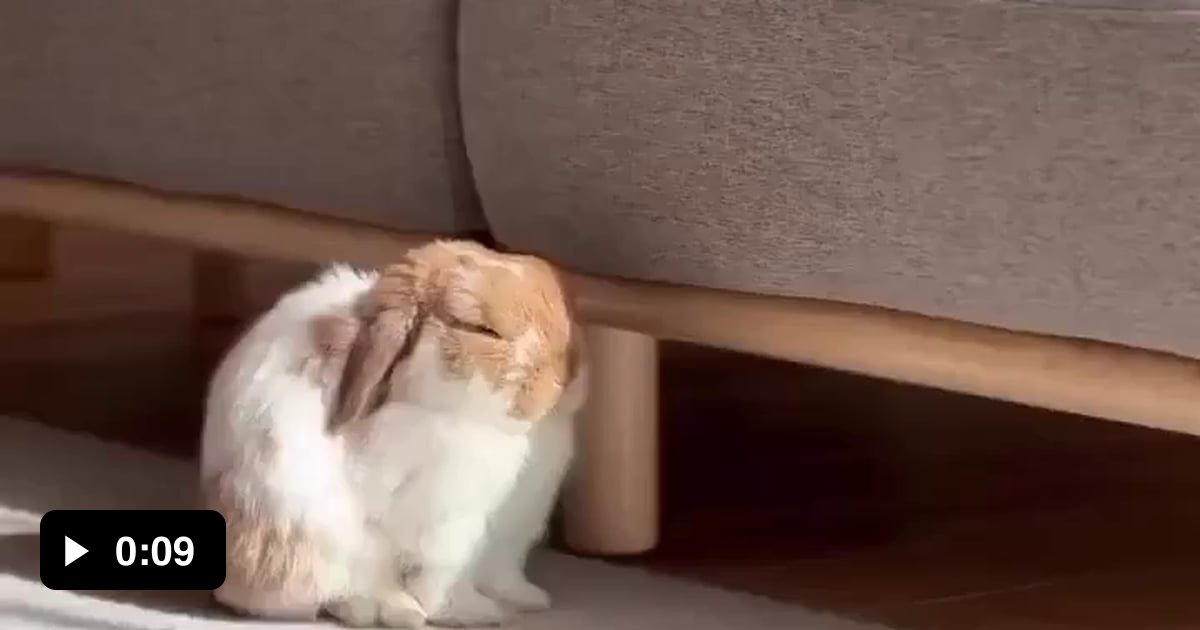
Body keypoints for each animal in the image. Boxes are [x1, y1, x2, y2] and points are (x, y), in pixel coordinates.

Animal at [200, 240, 585, 628]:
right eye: (479, 329)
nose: (563, 378)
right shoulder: (447, 529)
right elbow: (441, 580)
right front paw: (477, 613)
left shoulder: (507, 538)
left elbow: (502, 575)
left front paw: (529, 599)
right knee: (348, 590)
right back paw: (400, 611)